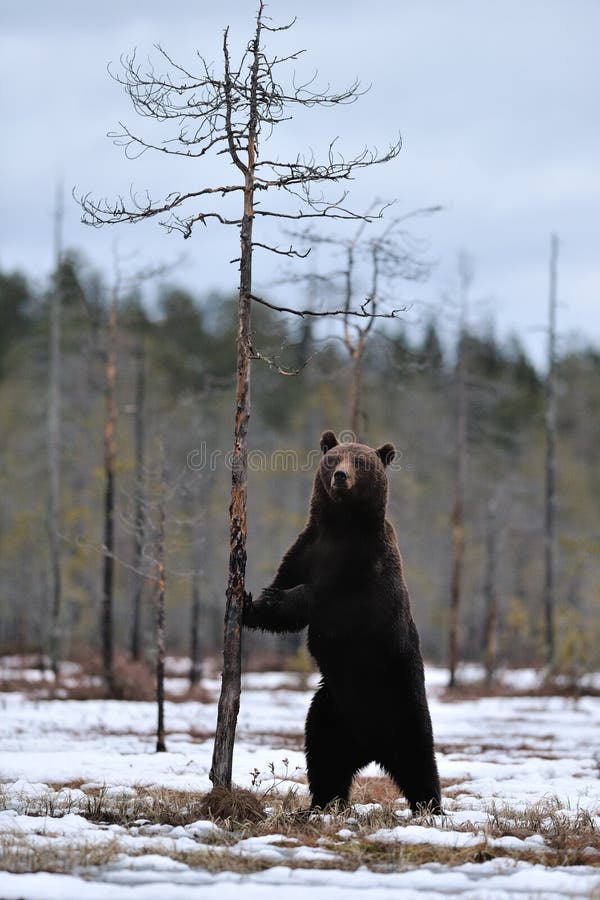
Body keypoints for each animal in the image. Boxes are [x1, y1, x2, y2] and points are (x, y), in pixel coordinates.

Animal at [243, 430, 441, 815]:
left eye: (361, 462)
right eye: (333, 459)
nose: (340, 476)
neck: (340, 526)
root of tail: (369, 748)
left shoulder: (367, 570)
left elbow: (331, 600)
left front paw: (276, 598)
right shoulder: (306, 548)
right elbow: (284, 588)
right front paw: (249, 603)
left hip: (401, 701)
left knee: (420, 761)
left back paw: (432, 808)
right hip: (332, 711)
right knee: (323, 757)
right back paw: (317, 805)